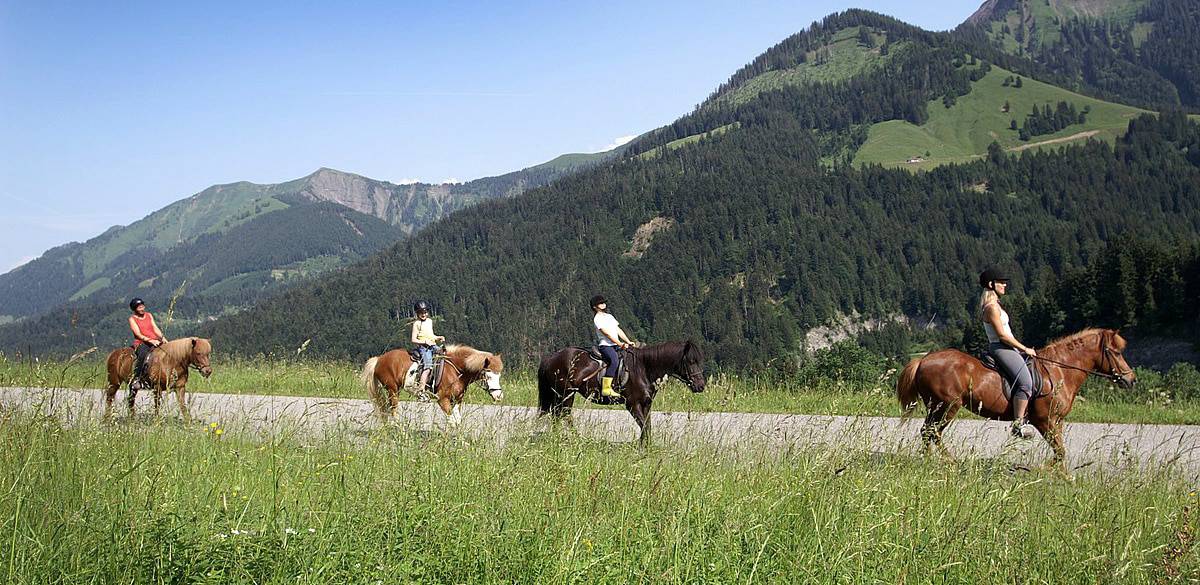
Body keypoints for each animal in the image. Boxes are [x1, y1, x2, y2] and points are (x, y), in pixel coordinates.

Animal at [360, 344, 504, 426]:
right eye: (489, 376)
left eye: (499, 375)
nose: (499, 396)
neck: (456, 370)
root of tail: (379, 359)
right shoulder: (442, 400)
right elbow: (452, 421)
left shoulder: (457, 400)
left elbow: (457, 421)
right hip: (392, 390)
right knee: (393, 411)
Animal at [537, 340, 707, 445]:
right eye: (691, 361)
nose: (701, 386)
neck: (643, 368)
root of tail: (550, 358)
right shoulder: (632, 404)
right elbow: (644, 426)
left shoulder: (646, 404)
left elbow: (647, 426)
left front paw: (646, 447)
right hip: (565, 393)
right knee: (563, 415)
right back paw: (574, 438)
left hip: (562, 394)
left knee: (558, 415)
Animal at [896, 328, 1135, 464]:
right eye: (1116, 352)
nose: (1131, 379)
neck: (1059, 371)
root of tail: (923, 360)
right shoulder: (1044, 420)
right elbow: (1059, 452)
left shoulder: (1057, 421)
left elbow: (1061, 452)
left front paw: (1063, 478)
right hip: (947, 406)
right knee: (933, 432)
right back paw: (949, 462)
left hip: (935, 407)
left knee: (927, 432)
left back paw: (928, 460)